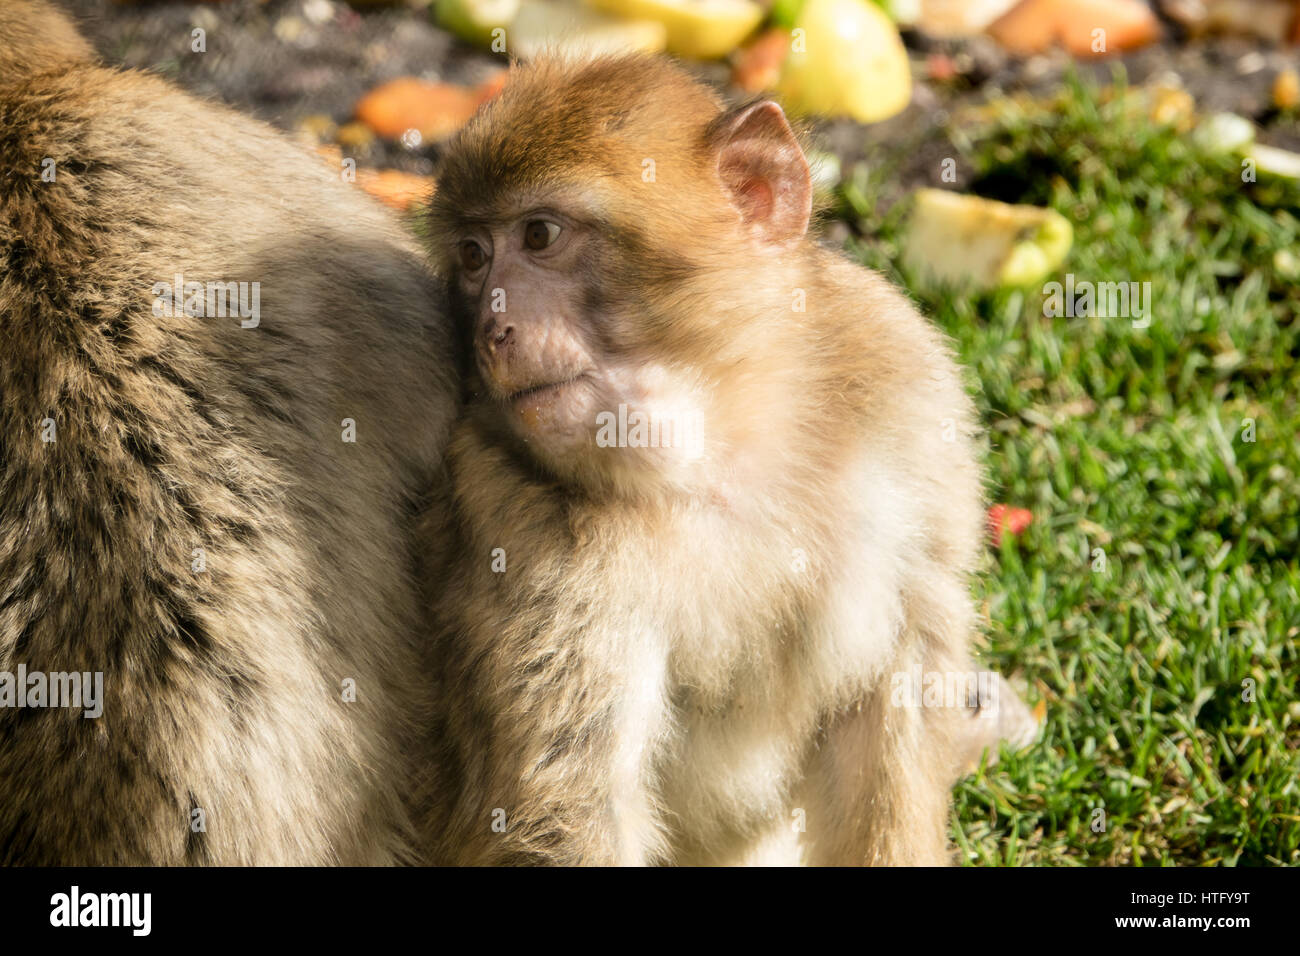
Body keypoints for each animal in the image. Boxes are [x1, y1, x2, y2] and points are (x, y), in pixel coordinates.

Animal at [417, 53, 1036, 866]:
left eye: (541, 234)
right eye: (473, 256)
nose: (493, 329)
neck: (723, 454)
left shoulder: (908, 397)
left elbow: (893, 693)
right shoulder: (508, 508)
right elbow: (568, 803)